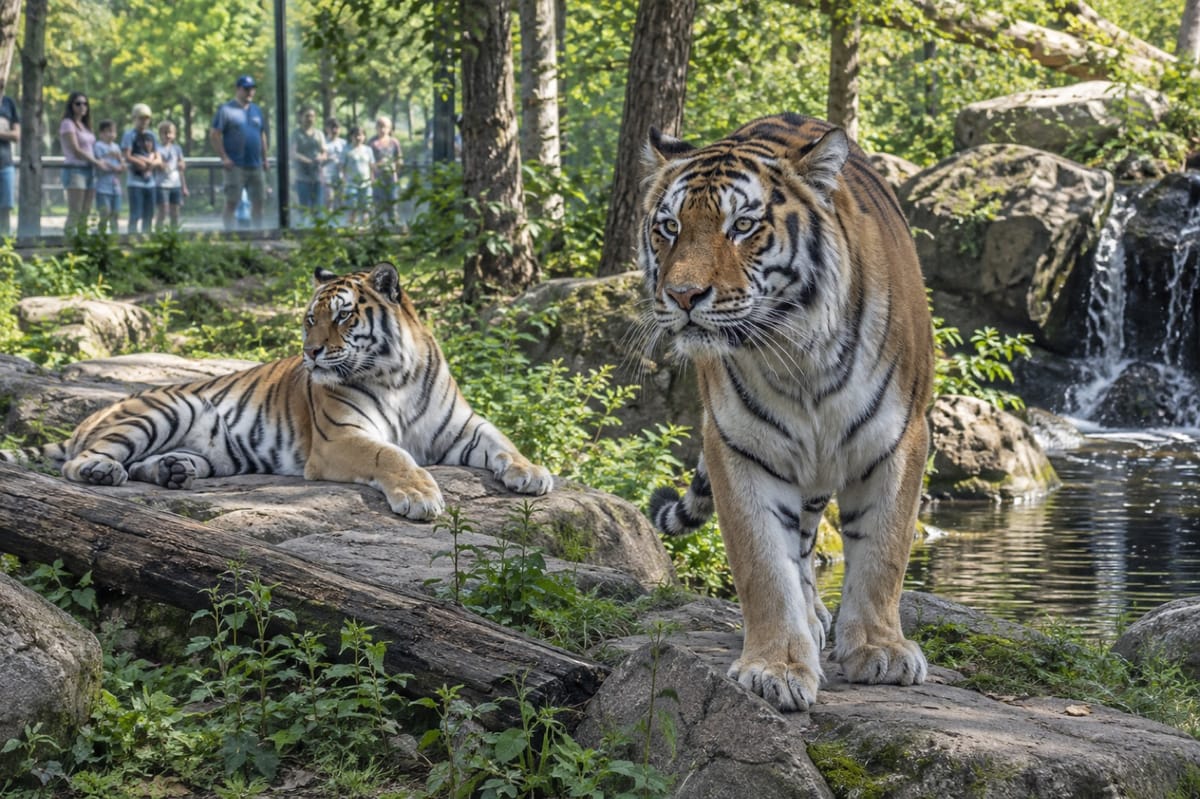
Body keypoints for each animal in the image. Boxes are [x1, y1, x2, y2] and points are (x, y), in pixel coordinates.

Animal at [1, 263, 553, 519]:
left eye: (343, 316)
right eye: (310, 319)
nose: (310, 353)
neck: (395, 375)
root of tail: (92, 416)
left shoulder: (462, 427)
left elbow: (506, 443)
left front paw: (532, 474)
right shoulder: (340, 439)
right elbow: (391, 455)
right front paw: (419, 495)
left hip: (218, 453)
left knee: (151, 464)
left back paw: (173, 471)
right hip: (162, 409)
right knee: (83, 460)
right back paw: (101, 471)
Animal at [639, 113, 934, 712]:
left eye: (743, 225)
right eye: (669, 227)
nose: (682, 296)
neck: (797, 354)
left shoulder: (899, 440)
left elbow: (884, 552)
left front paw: (880, 650)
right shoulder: (740, 447)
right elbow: (764, 565)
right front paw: (776, 666)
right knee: (798, 549)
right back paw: (811, 620)